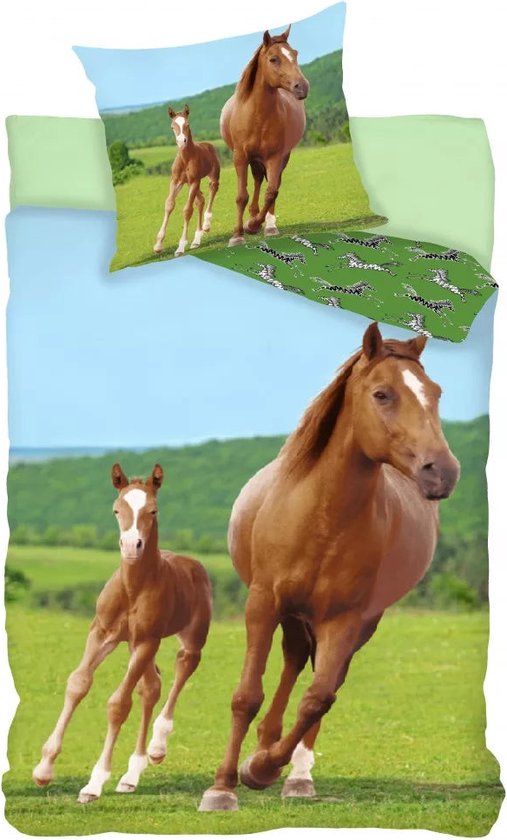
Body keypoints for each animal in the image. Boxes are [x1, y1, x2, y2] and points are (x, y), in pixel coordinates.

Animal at [33, 463, 212, 803]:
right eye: (117, 509)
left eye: (153, 510)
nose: (131, 546)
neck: (133, 589)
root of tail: (193, 564)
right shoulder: (102, 633)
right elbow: (78, 683)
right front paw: (44, 768)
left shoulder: (146, 641)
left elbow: (118, 704)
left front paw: (94, 783)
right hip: (131, 645)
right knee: (151, 687)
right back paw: (131, 774)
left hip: (188, 637)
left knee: (183, 666)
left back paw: (156, 748)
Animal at [153, 105, 220, 256]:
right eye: (172, 126)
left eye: (187, 124)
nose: (181, 141)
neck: (186, 159)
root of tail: (209, 145)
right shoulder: (176, 181)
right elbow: (169, 205)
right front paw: (158, 245)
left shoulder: (194, 181)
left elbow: (187, 210)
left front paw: (181, 246)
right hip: (190, 184)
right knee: (200, 200)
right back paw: (196, 240)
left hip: (211, 177)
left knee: (212, 190)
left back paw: (206, 225)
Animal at [199, 322, 460, 811]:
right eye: (382, 394)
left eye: (435, 393)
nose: (442, 471)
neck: (321, 517)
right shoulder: (262, 603)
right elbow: (247, 695)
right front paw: (223, 786)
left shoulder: (345, 618)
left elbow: (318, 698)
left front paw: (263, 769)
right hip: (291, 614)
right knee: (293, 660)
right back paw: (263, 745)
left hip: (354, 623)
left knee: (322, 679)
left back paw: (293, 774)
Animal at [220, 25, 309, 247]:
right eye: (273, 59)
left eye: (295, 54)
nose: (302, 87)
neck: (257, 116)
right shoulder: (240, 157)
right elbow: (241, 196)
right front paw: (238, 234)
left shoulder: (275, 157)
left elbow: (271, 192)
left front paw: (254, 225)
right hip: (253, 159)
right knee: (258, 179)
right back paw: (253, 215)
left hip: (280, 158)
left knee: (270, 184)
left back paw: (267, 224)